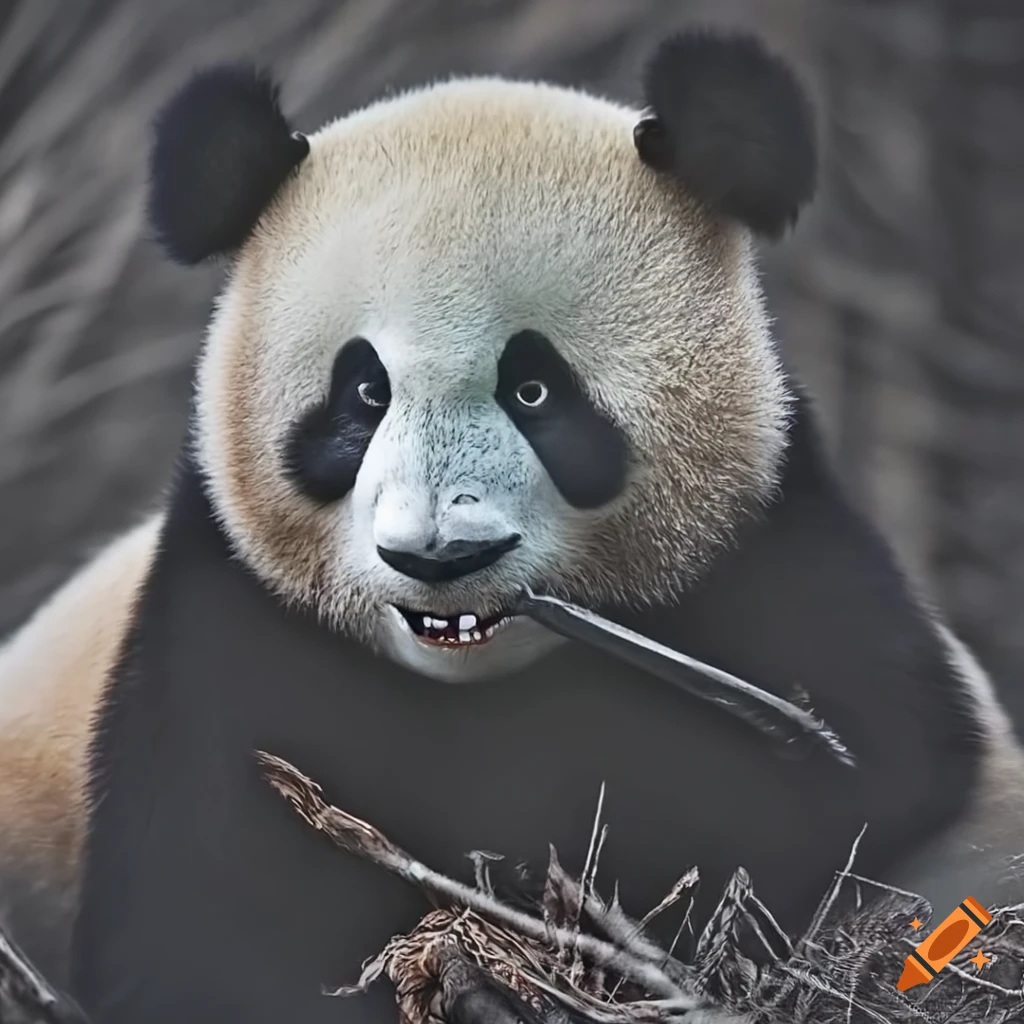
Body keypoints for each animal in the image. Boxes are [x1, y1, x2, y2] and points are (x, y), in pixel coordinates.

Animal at [0, 26, 1022, 1024]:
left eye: (534, 390)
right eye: (362, 393)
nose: (440, 556)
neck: (475, 689)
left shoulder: (779, 550)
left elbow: (853, 781)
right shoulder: (221, 625)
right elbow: (195, 918)